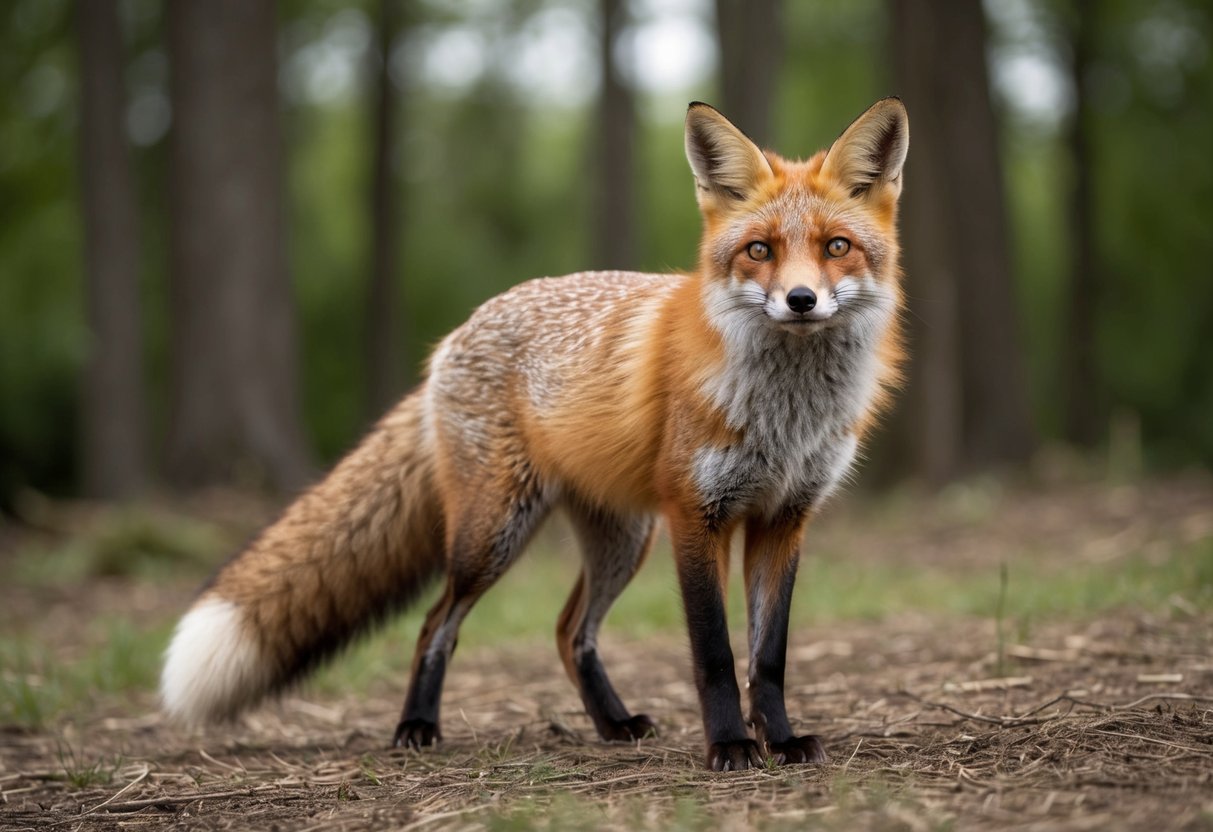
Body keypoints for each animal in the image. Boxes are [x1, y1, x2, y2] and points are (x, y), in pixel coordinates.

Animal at [161, 98, 909, 771]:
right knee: (436, 623)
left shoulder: (783, 518)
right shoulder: (697, 515)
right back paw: (416, 727)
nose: (801, 301)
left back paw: (613, 726)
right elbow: (717, 655)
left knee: (568, 631)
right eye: (759, 250)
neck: (786, 415)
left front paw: (781, 741)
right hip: (492, 534)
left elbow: (768, 657)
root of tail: (456, 335)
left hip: (622, 541)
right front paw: (728, 747)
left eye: (836, 247)